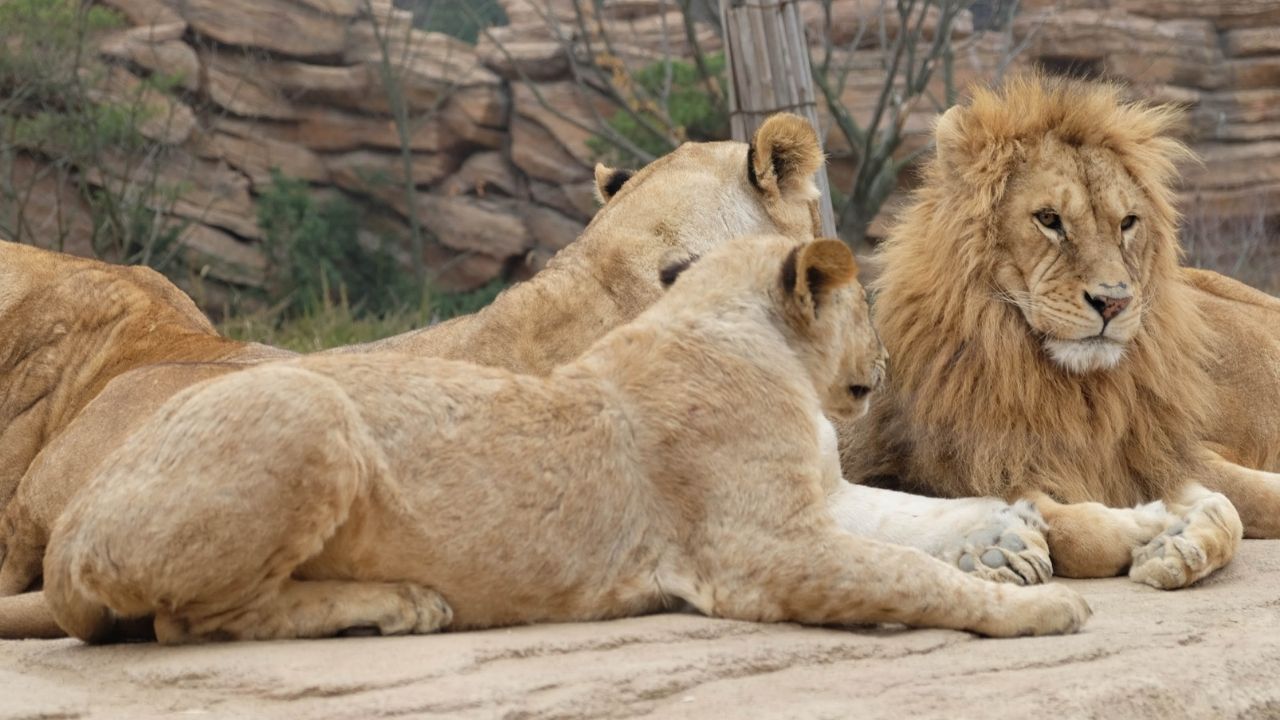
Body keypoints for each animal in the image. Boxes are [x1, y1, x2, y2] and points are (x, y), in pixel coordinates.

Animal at [840, 74, 1280, 590]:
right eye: (1049, 219)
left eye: (1127, 223)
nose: (1113, 301)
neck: (1066, 387)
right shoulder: (951, 467)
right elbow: (1069, 529)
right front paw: (1159, 530)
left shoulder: (1160, 451)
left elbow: (1241, 504)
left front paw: (1184, 540)